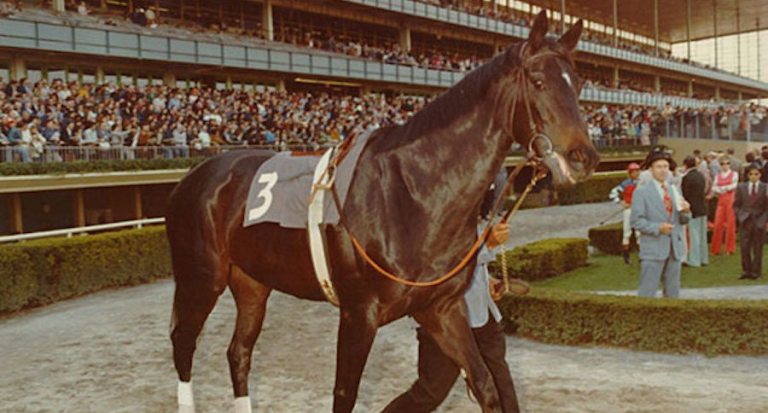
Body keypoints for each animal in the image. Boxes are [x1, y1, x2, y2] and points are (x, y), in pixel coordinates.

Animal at [166, 10, 598, 413]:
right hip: (201, 278)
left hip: (252, 283)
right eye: (538, 81)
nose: (585, 157)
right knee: (183, 343)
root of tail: (194, 177)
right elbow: (345, 394)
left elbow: (485, 384)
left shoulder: (441, 309)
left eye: (577, 84)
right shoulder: (359, 314)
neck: (411, 193)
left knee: (238, 352)